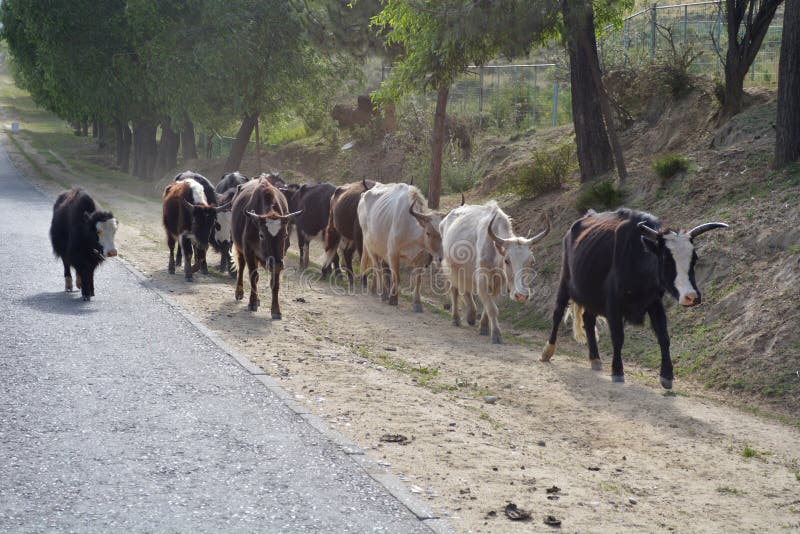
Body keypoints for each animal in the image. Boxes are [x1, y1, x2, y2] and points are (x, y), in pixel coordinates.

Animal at [231, 176, 302, 319]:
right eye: (261, 235)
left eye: (285, 234)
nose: (276, 264)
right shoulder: (248, 251)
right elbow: (253, 276)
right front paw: (252, 303)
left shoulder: (280, 257)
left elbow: (275, 283)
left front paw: (276, 310)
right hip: (240, 248)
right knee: (241, 266)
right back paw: (240, 292)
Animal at [358, 182, 444, 313]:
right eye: (428, 233)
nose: (440, 258)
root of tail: (364, 195)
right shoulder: (393, 253)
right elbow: (396, 277)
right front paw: (393, 298)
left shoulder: (422, 258)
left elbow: (418, 280)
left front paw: (417, 304)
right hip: (370, 246)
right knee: (378, 268)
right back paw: (383, 293)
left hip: (379, 249)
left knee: (377, 267)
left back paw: (374, 290)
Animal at [440, 201, 550, 344]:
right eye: (507, 260)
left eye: (532, 261)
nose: (521, 295)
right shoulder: (482, 280)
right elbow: (492, 308)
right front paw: (496, 334)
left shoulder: (499, 284)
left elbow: (489, 306)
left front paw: (484, 327)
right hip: (451, 269)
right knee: (455, 291)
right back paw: (456, 319)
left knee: (465, 290)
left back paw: (471, 316)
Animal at [540, 208, 728, 389]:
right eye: (666, 259)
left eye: (694, 258)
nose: (691, 296)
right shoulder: (613, 304)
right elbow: (618, 337)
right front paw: (617, 371)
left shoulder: (655, 303)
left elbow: (664, 337)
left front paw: (667, 377)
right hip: (565, 280)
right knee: (558, 313)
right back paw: (547, 352)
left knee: (588, 319)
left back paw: (595, 359)